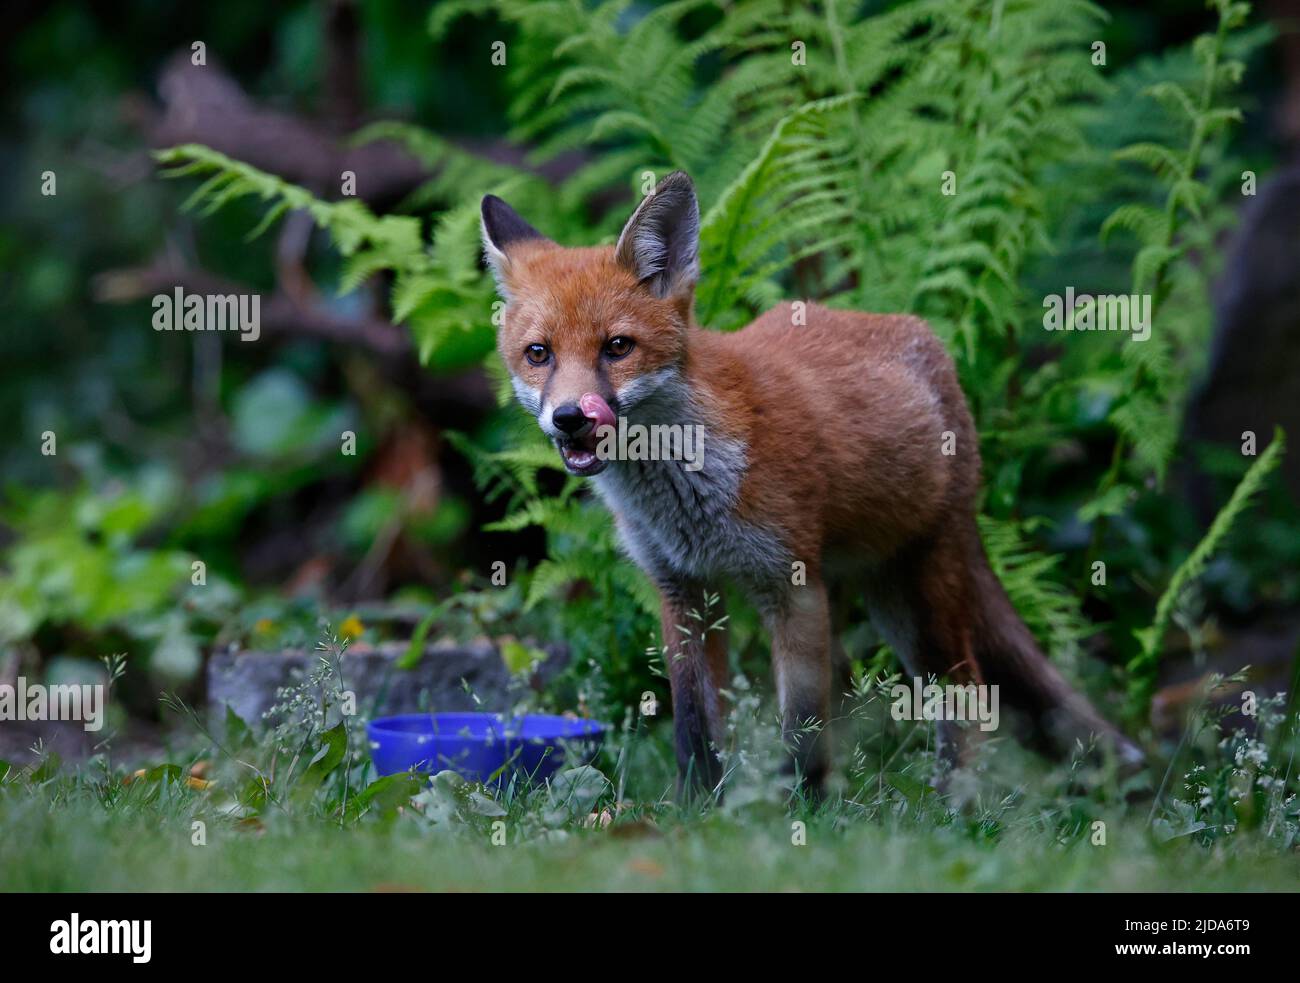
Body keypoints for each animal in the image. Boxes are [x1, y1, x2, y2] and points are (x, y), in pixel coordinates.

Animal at [480, 171, 1144, 797]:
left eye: (617, 347)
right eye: (538, 354)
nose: (570, 417)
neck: (688, 495)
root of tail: (923, 340)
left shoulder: (791, 587)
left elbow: (801, 730)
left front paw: (799, 814)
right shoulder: (683, 590)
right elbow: (695, 729)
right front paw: (697, 811)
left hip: (922, 598)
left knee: (968, 690)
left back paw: (955, 806)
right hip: (869, 591)